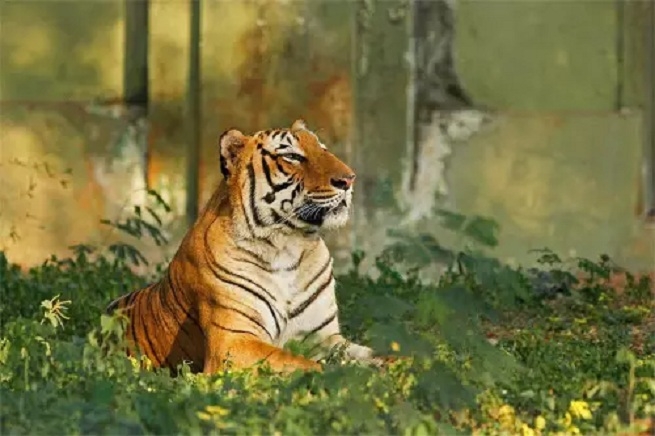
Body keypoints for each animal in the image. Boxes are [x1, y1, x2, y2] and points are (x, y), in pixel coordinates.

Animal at [105, 119, 381, 374]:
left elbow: (374, 356)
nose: (349, 179)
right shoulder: (233, 341)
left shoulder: (325, 339)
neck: (289, 245)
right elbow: (310, 365)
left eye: (323, 149)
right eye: (292, 156)